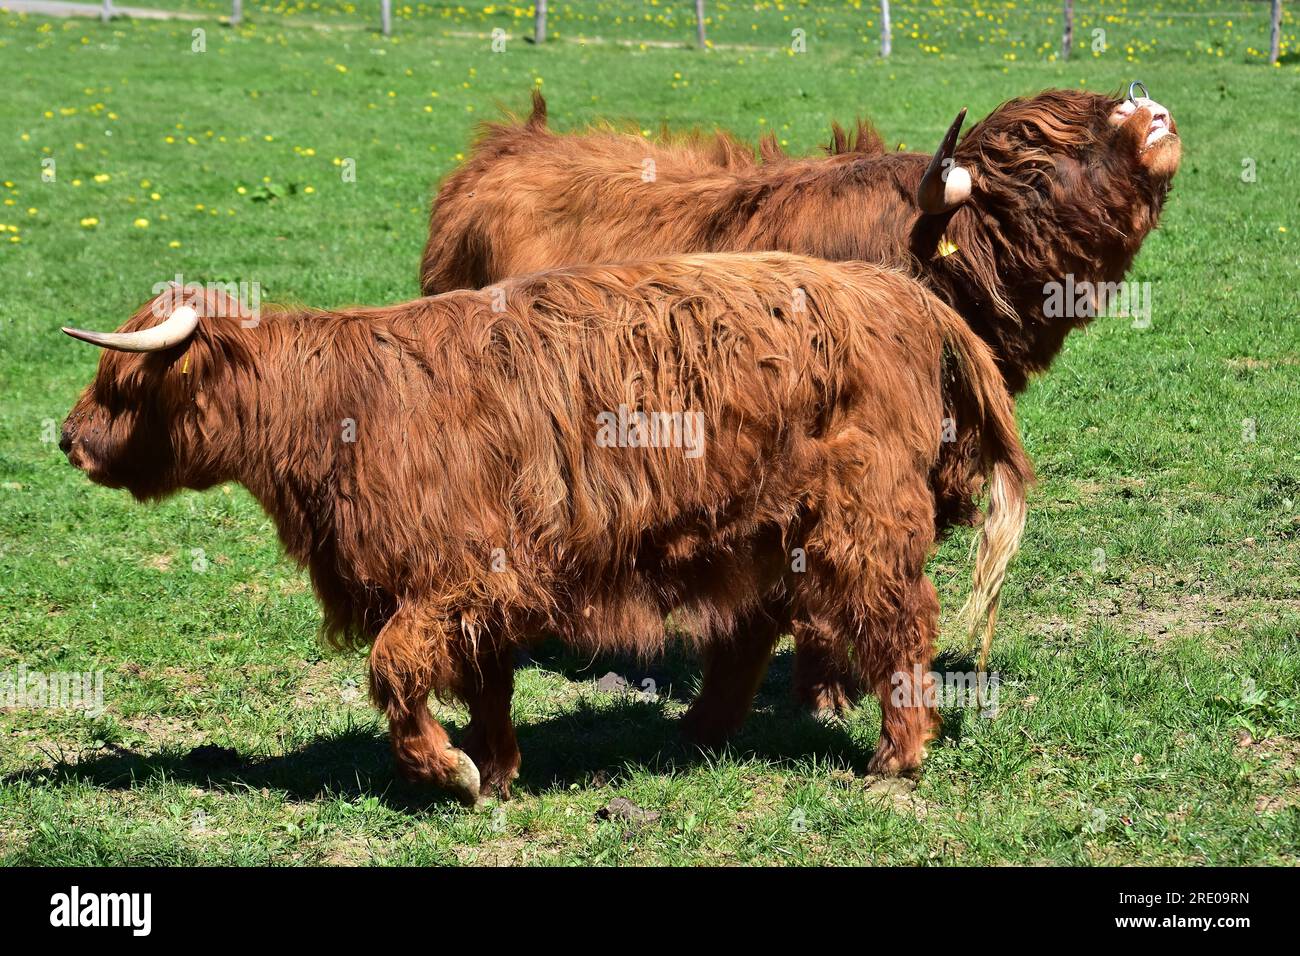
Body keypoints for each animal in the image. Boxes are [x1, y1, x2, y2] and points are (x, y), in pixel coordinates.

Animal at [61, 253, 1031, 805]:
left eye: (124, 383)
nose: (67, 438)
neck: (338, 413)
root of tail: (903, 294)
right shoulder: (475, 585)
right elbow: (483, 682)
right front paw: (495, 773)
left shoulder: (456, 573)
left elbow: (396, 668)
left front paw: (447, 772)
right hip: (756, 523)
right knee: (754, 625)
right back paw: (698, 733)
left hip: (859, 517)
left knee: (898, 619)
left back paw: (896, 759)